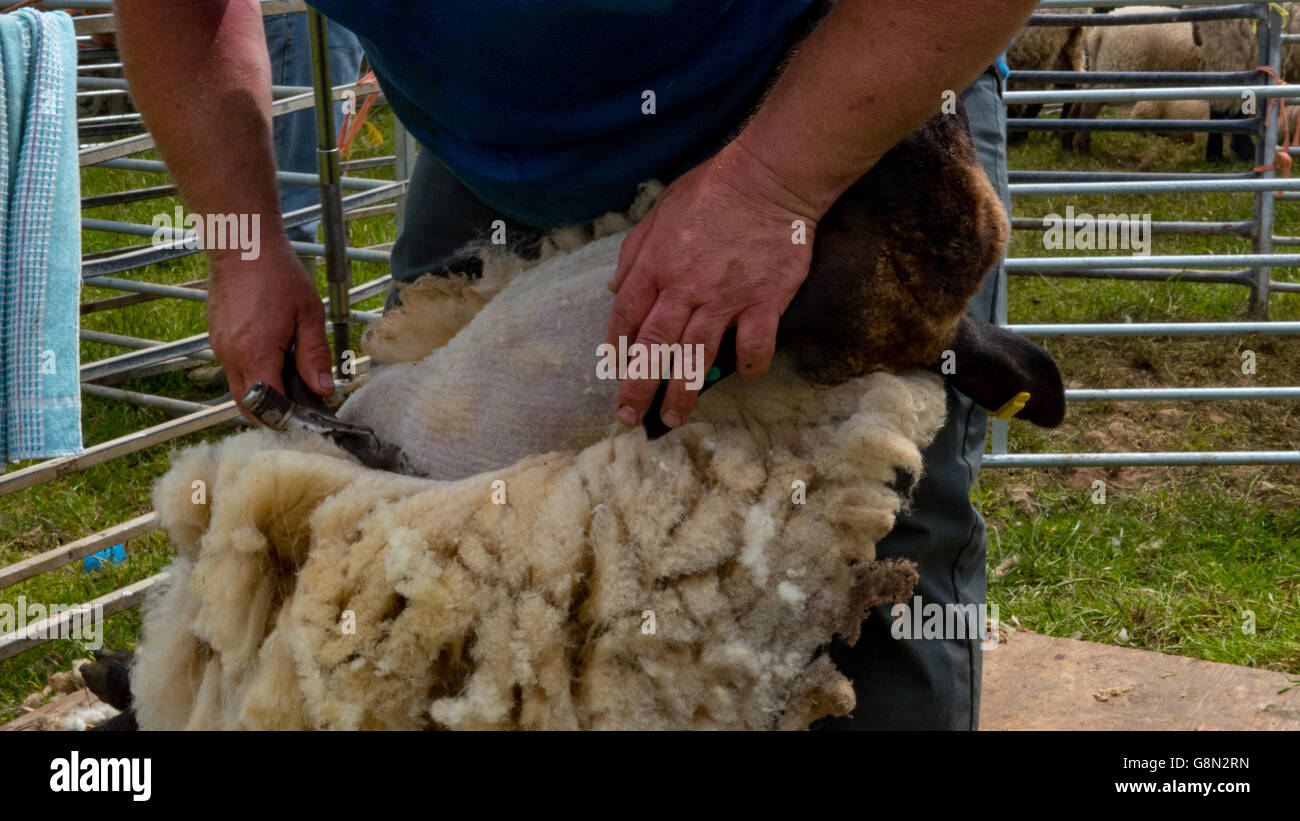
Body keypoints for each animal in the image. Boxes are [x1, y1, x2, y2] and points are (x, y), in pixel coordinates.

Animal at [1067, 6, 1201, 153]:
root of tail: (1099, 33)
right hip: (1120, 66)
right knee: (1092, 102)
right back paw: (1082, 145)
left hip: (1101, 65)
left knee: (1083, 94)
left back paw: (1067, 139)